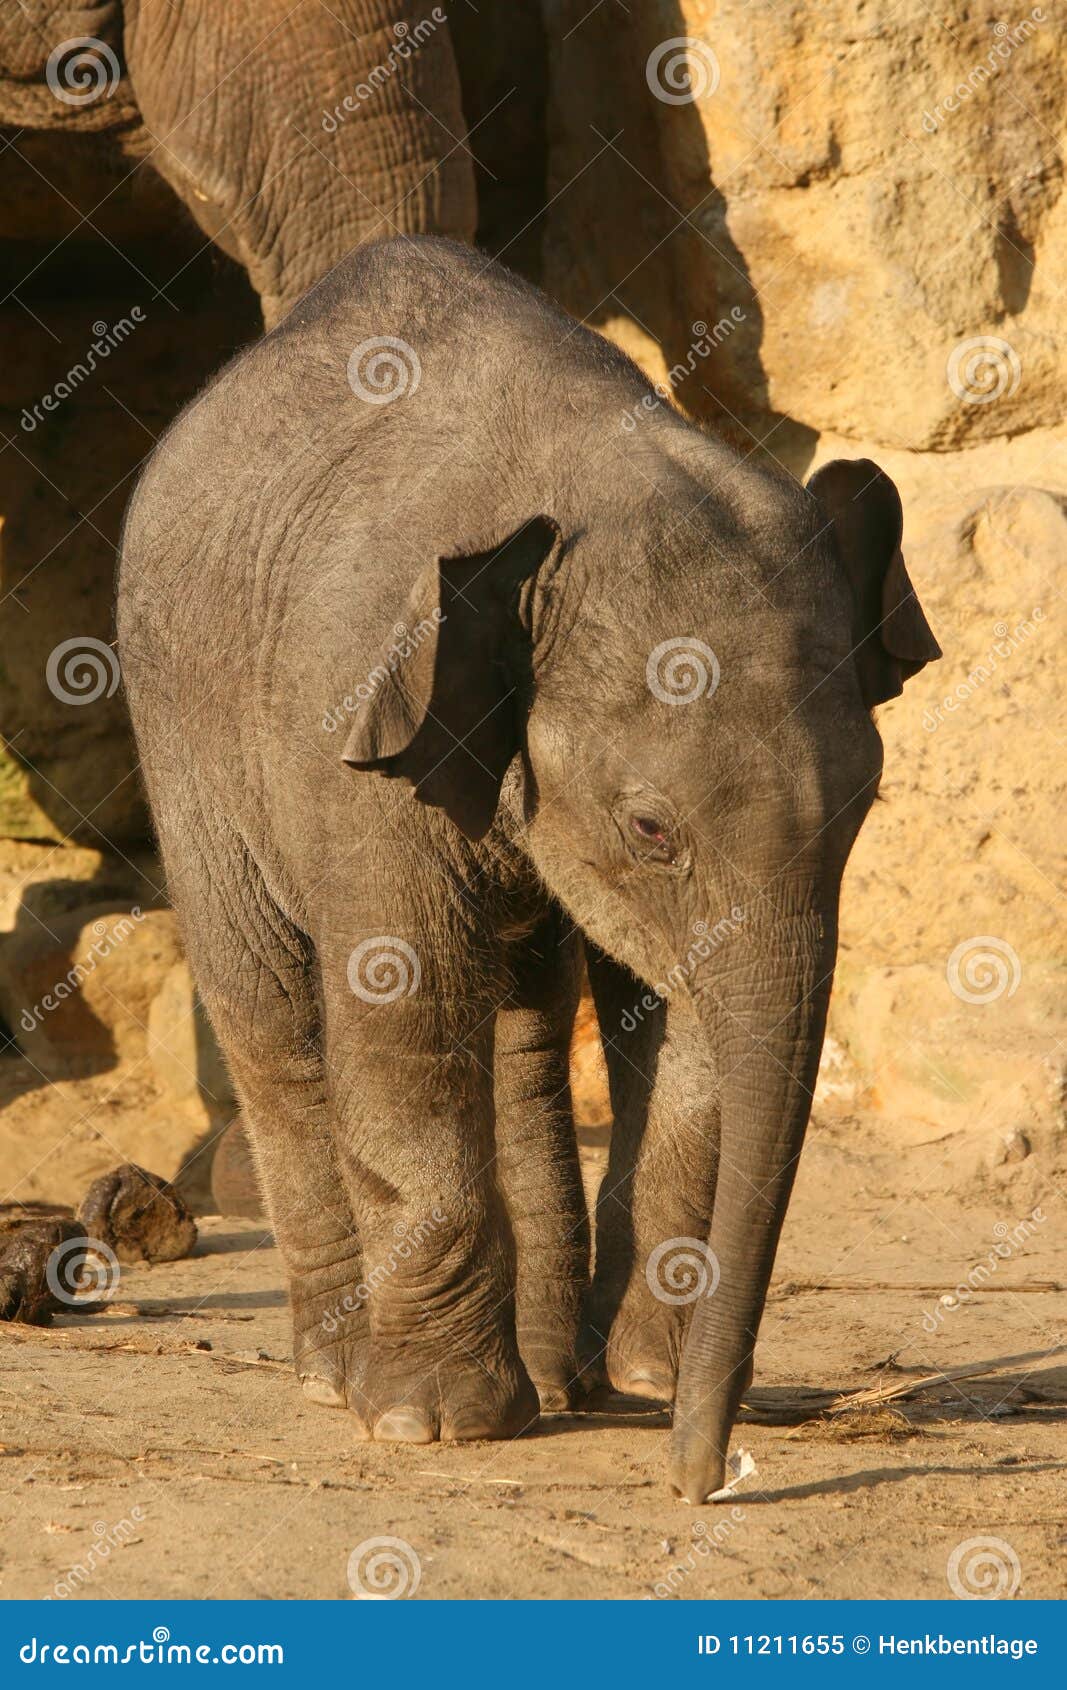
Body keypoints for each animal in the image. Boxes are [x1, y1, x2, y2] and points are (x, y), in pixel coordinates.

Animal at [116, 235, 940, 1504]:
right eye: (649, 828)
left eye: (865, 803)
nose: (696, 1479)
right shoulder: (356, 725)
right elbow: (400, 992)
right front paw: (432, 1427)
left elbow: (672, 1017)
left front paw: (641, 1383)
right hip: (181, 733)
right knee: (271, 1006)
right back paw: (339, 1377)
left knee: (524, 1031)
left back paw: (555, 1376)